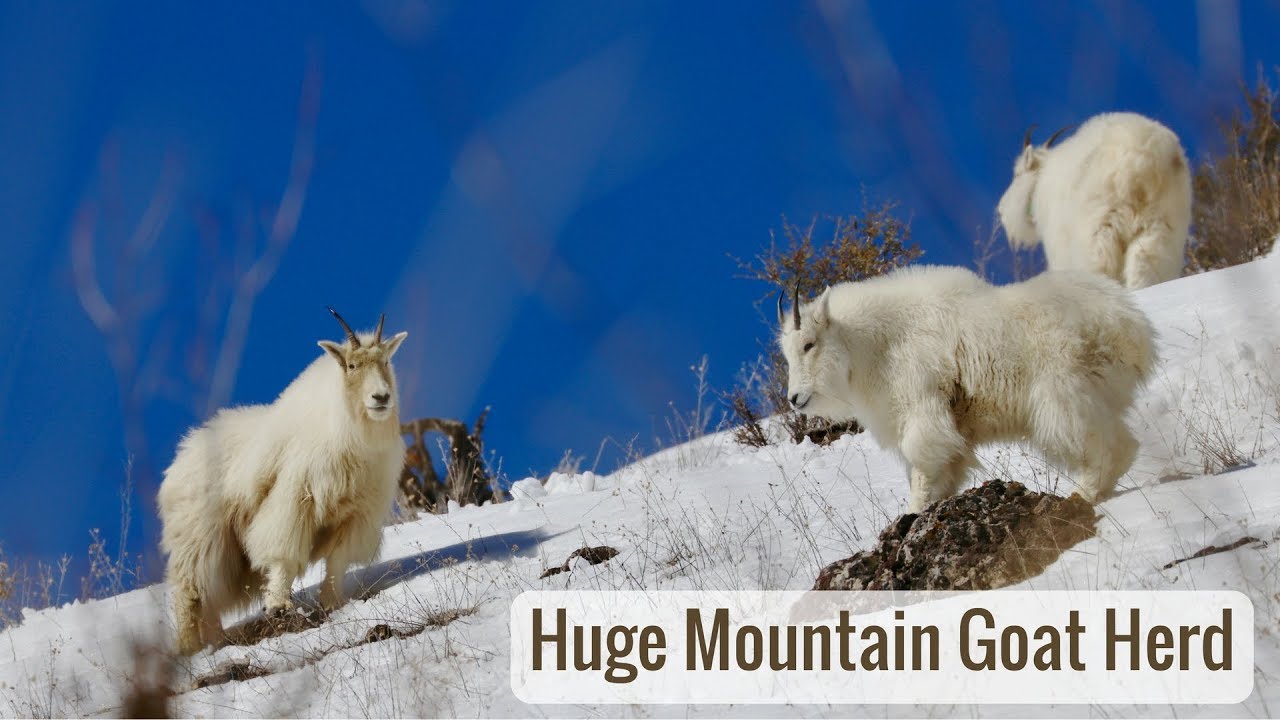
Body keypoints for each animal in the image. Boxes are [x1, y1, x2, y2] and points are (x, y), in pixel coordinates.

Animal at [157, 309, 408, 655]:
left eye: (385, 361)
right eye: (352, 365)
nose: (381, 398)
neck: (353, 437)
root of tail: (177, 463)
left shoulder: (357, 514)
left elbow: (338, 560)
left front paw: (333, 603)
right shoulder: (296, 498)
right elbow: (283, 554)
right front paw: (278, 605)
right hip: (197, 540)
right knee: (190, 592)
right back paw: (188, 648)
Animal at [778, 265, 1155, 511]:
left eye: (809, 344)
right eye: (787, 351)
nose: (795, 399)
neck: (877, 344)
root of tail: (1129, 326)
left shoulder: (923, 412)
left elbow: (921, 470)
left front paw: (913, 514)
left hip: (1064, 396)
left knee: (1107, 445)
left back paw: (1082, 496)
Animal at [997, 112, 1192, 289]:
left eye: (1017, 174)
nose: (1000, 211)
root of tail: (1140, 157)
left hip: (1100, 229)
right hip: (1160, 226)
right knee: (1145, 268)